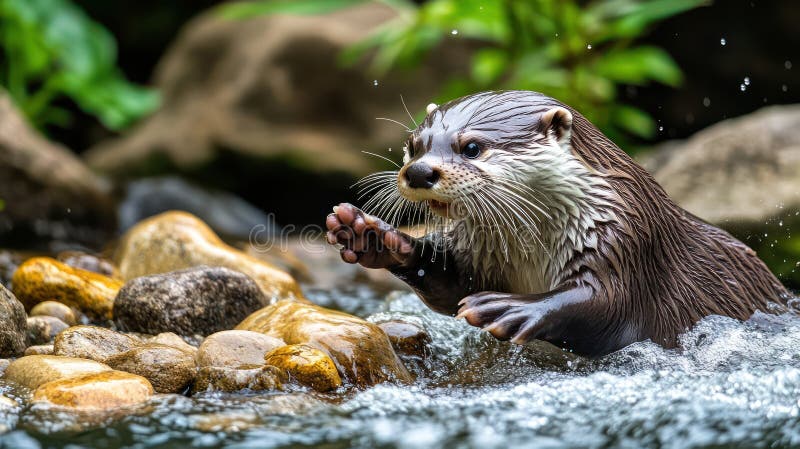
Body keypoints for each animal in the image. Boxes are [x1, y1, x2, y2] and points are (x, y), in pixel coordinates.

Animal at [325, 90, 792, 357]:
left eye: (472, 147)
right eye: (413, 146)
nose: (419, 172)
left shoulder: (623, 238)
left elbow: (605, 305)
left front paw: (509, 307)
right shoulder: (477, 253)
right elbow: (447, 282)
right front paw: (371, 235)